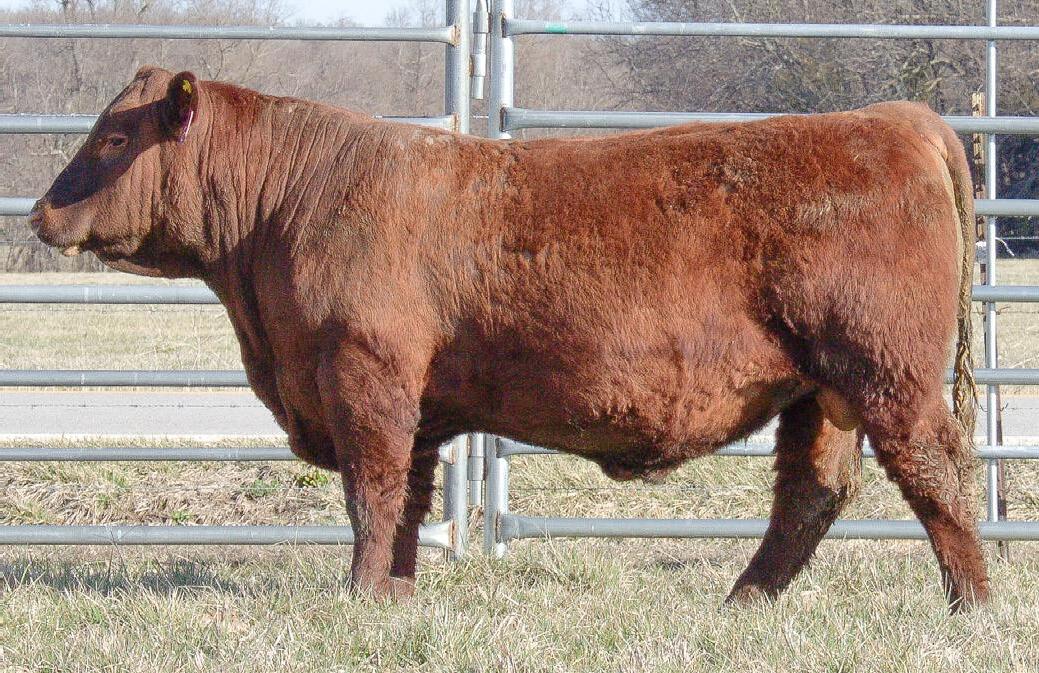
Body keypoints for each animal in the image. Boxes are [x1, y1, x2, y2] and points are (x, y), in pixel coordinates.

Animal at [30, 66, 987, 611]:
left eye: (113, 137)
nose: (39, 213)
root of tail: (886, 118)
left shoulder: (363, 374)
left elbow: (370, 491)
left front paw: (356, 597)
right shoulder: (410, 401)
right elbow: (408, 498)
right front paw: (395, 597)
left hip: (887, 371)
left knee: (934, 470)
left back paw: (969, 606)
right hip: (821, 390)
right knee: (810, 493)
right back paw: (743, 604)